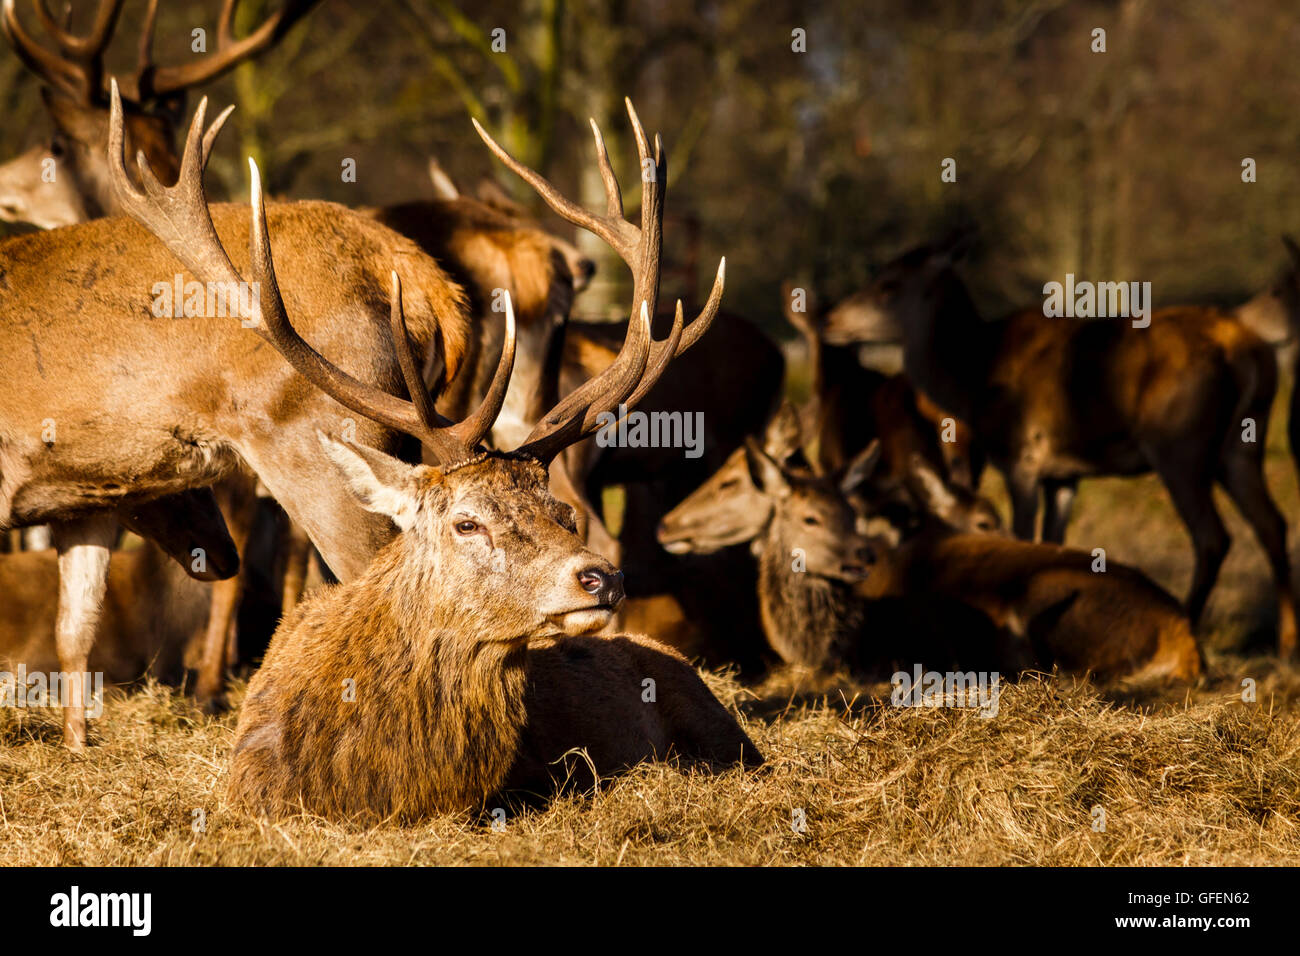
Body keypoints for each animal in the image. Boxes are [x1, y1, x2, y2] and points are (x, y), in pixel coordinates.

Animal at [823, 229, 1298, 658]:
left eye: (888, 285)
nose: (830, 320)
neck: (971, 381)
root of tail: (1253, 354)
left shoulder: (1021, 456)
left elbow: (1022, 532)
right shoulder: (1064, 474)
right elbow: (1054, 537)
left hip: (1180, 444)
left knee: (1213, 536)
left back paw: (1192, 621)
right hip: (1241, 445)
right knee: (1272, 523)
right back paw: (1287, 643)